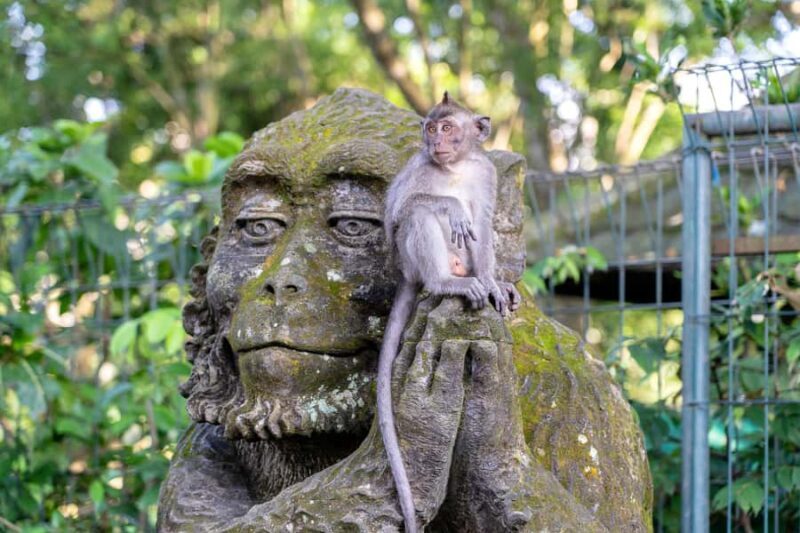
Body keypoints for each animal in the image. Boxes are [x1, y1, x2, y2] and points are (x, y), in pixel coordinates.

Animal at [378, 92, 521, 533]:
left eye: (447, 128)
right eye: (430, 128)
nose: (435, 140)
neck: (454, 165)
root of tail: (409, 276)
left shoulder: (485, 173)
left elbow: (484, 223)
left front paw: (494, 282)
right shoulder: (418, 167)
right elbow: (400, 213)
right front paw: (451, 204)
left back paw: (485, 281)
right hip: (410, 260)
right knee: (419, 215)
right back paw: (444, 282)